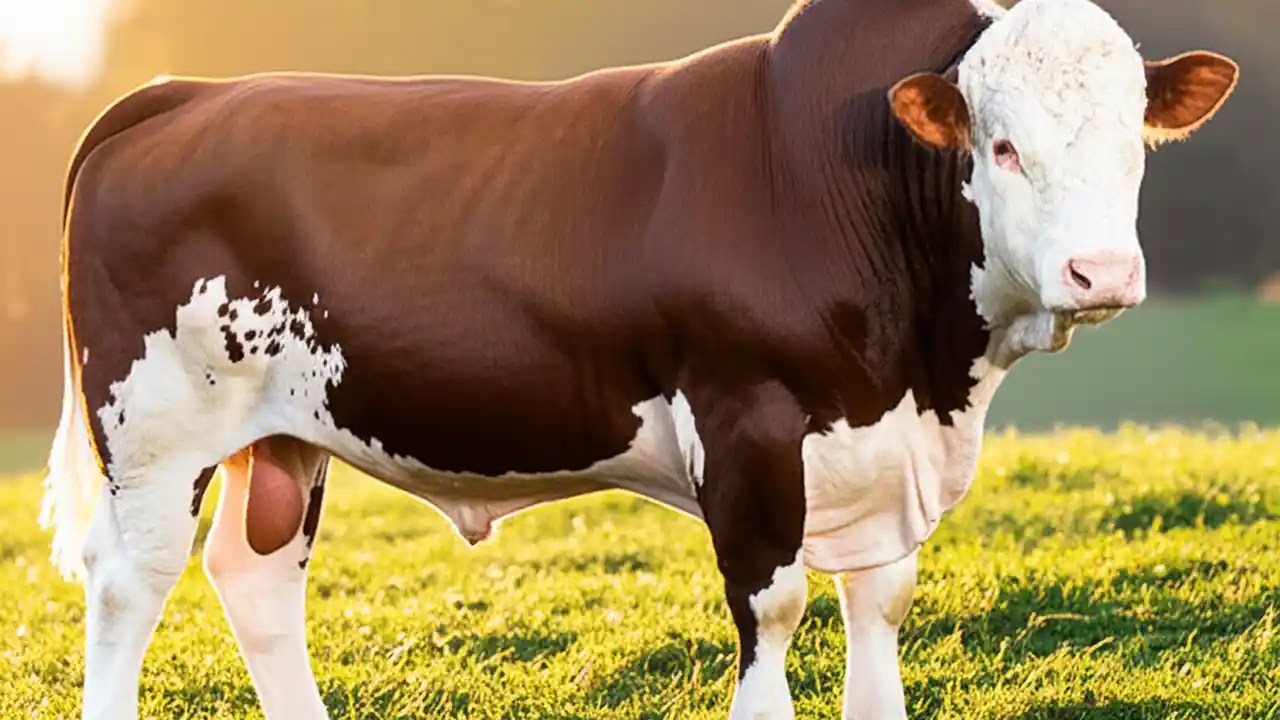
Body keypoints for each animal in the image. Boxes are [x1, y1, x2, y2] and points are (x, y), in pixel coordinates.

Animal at [42, 0, 1237, 717]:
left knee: (254, 580)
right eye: (1000, 144)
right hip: (154, 431)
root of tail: (190, 92)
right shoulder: (748, 423)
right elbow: (774, 611)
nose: (1100, 271)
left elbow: (880, 603)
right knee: (130, 583)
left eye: (1134, 139)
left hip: (285, 434)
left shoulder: (882, 451)